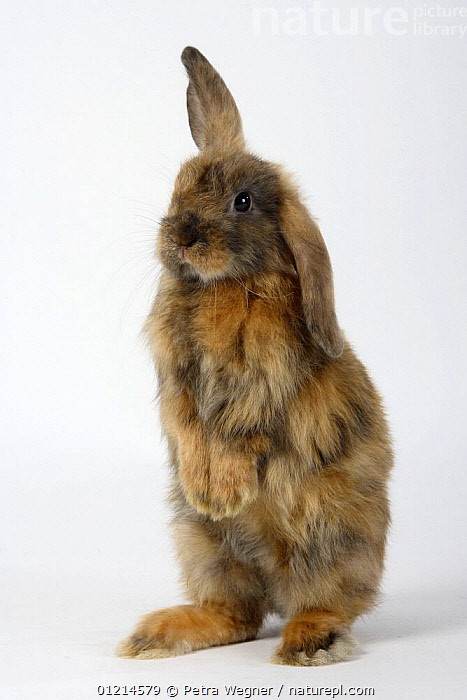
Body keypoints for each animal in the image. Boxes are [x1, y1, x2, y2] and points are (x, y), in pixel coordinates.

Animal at [117, 46, 392, 667]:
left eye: (242, 202)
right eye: (179, 186)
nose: (182, 237)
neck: (226, 284)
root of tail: (275, 583)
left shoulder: (263, 377)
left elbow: (241, 428)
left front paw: (225, 490)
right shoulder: (176, 380)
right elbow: (187, 423)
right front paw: (207, 488)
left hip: (326, 531)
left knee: (327, 600)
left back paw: (310, 643)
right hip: (202, 543)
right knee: (237, 615)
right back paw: (158, 634)